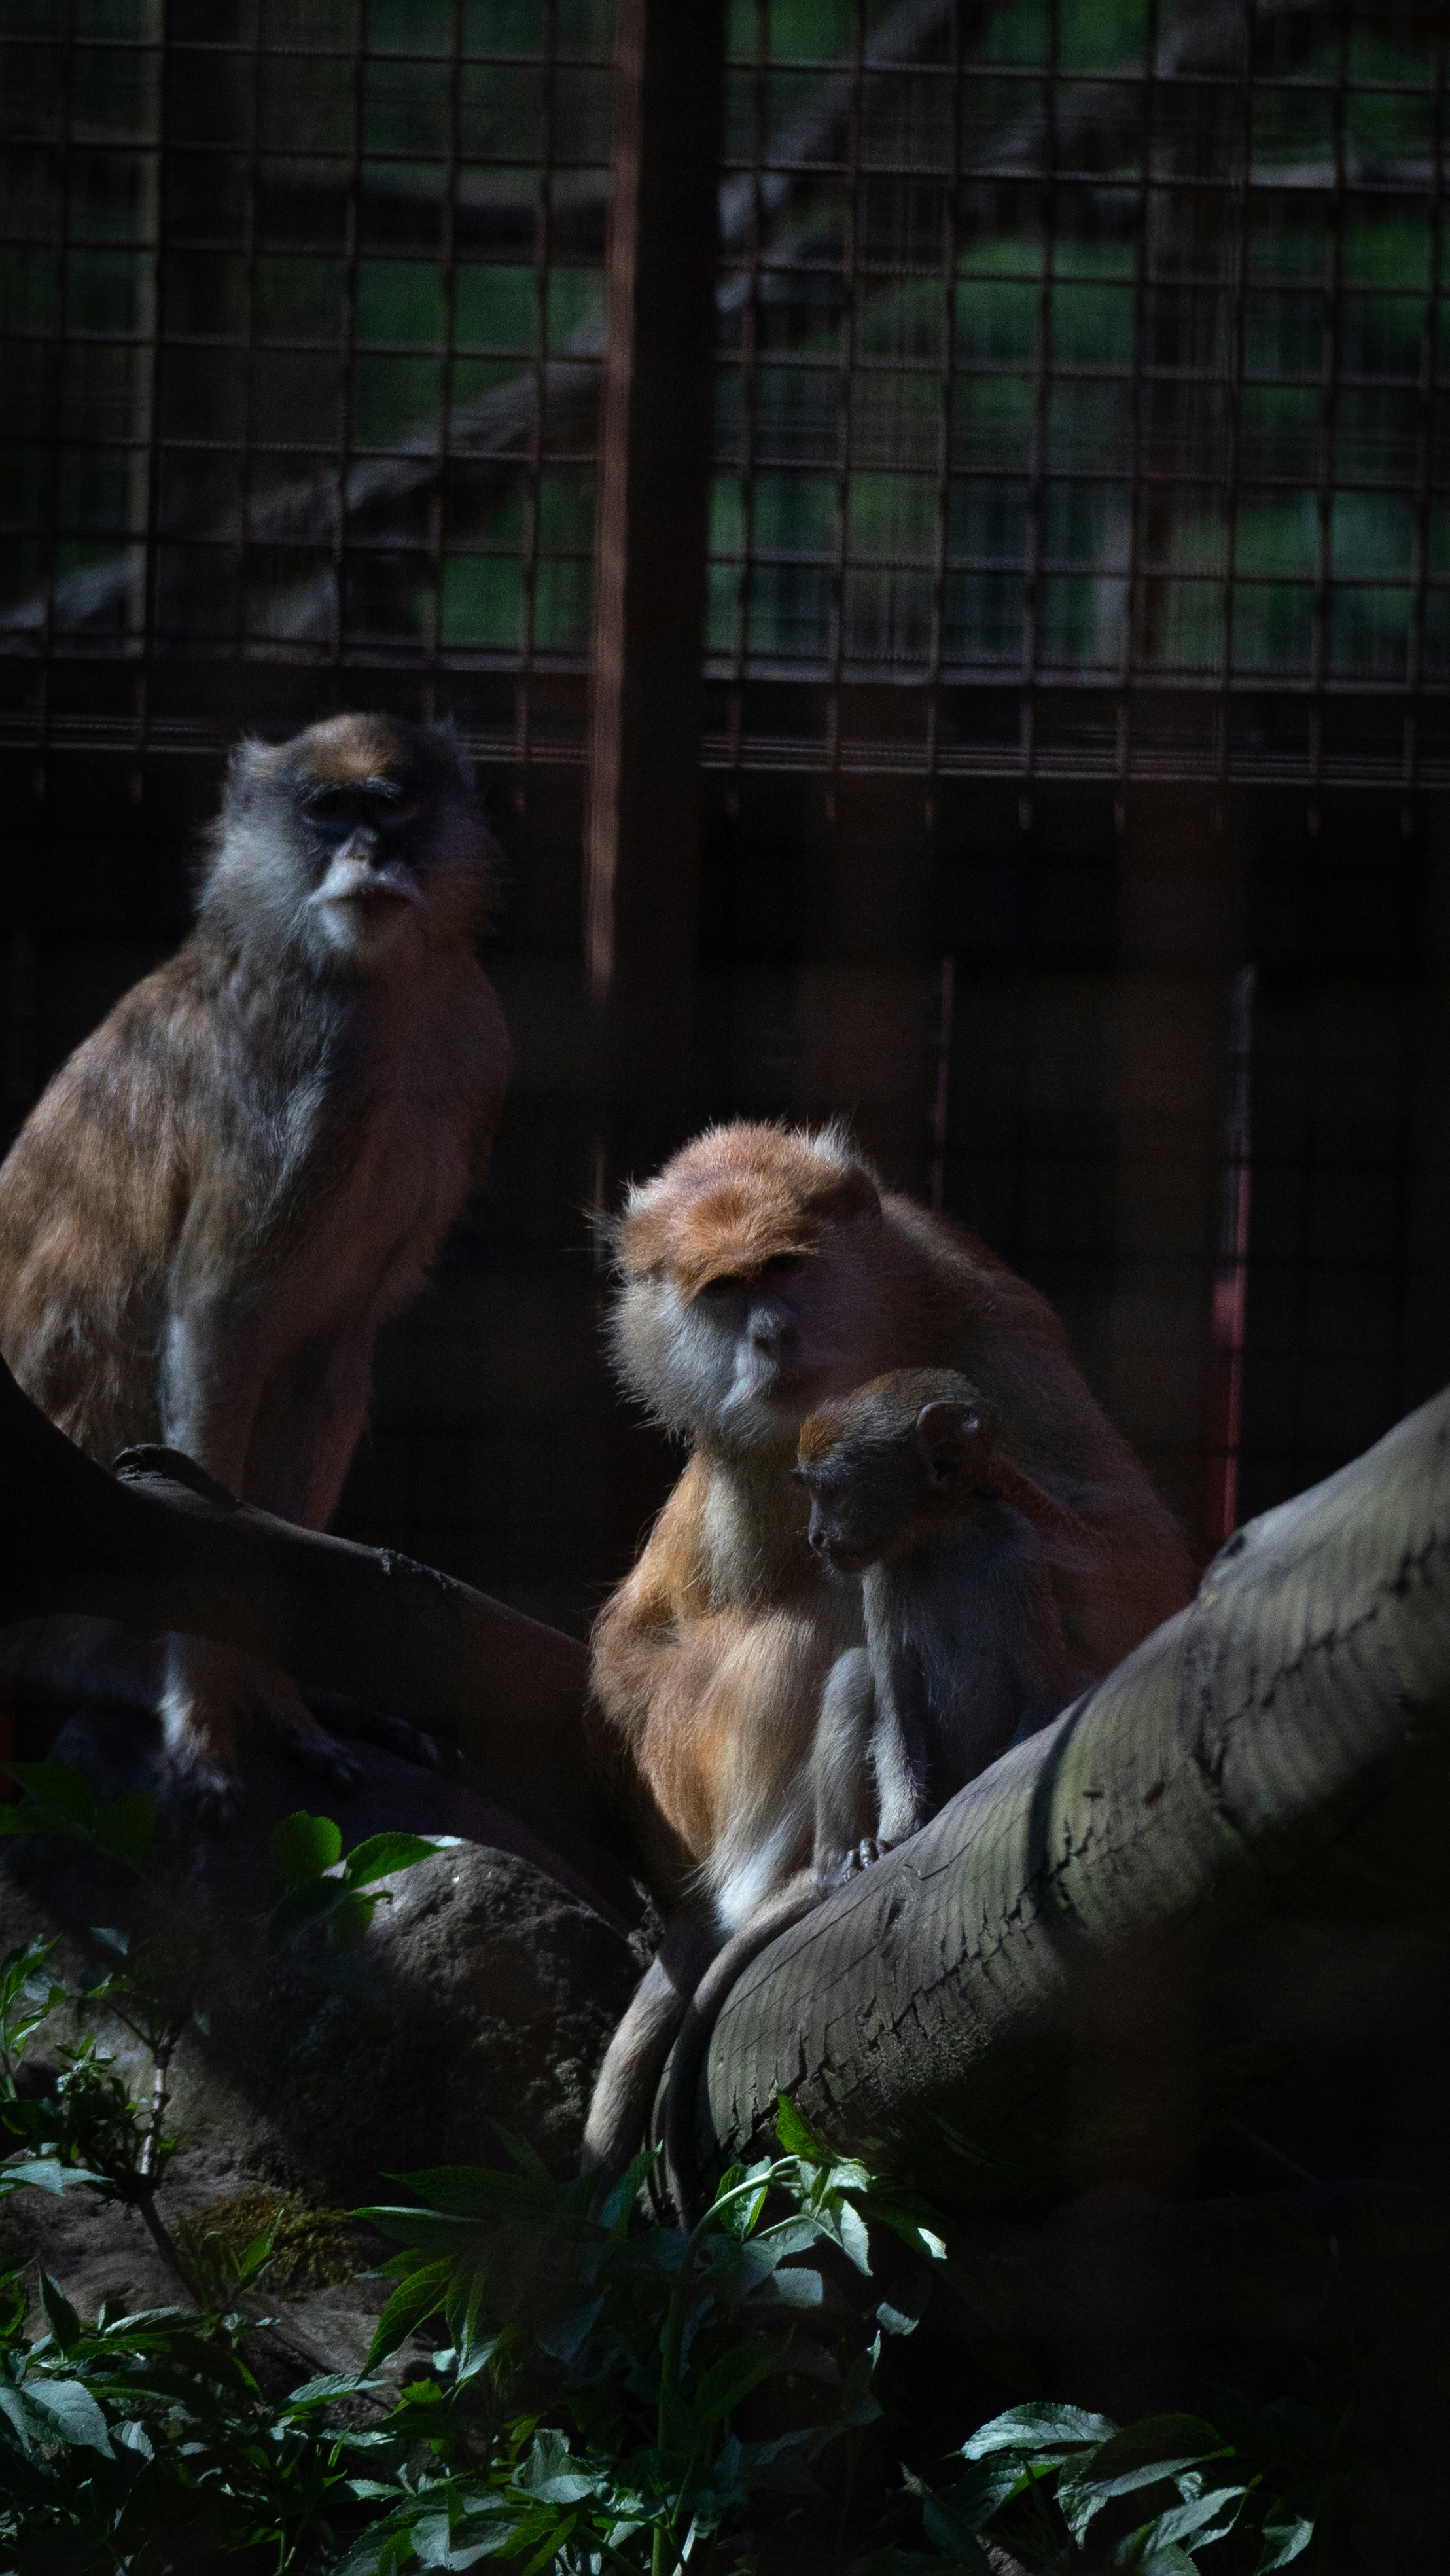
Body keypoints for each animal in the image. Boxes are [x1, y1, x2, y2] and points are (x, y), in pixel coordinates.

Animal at [0, 711, 511, 1814]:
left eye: (390, 804)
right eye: (326, 811)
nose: (367, 854)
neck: (374, 987)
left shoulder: (470, 1055)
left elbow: (330, 1361)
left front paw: (284, 1701)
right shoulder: (297, 1076)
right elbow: (216, 1325)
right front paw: (207, 1726)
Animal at [796, 1368, 1101, 1887]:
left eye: (830, 1492)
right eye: (814, 1494)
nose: (816, 1537)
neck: (943, 1536)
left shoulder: (1018, 1554)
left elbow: (1045, 1697)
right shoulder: (882, 1578)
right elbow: (898, 1712)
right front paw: (895, 1836)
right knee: (857, 1673)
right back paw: (835, 1866)